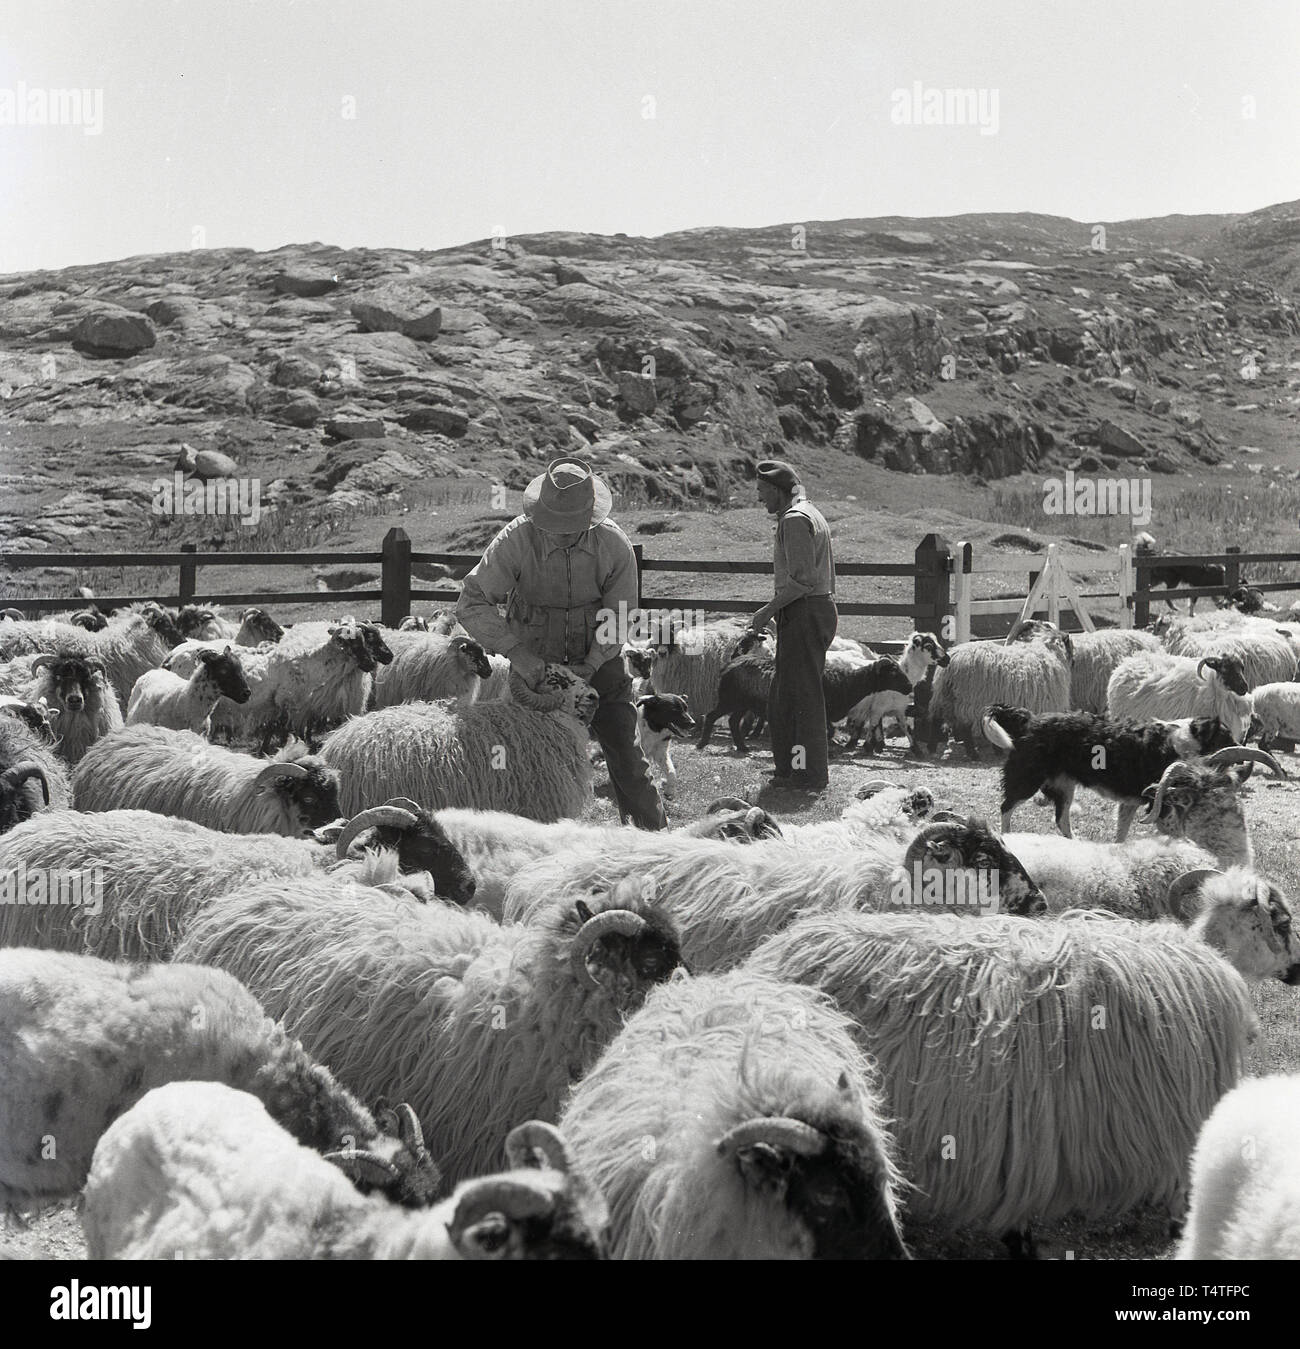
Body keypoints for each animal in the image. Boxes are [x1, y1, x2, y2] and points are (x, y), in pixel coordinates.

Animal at [930, 621, 1073, 758]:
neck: (1046, 649)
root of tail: (951, 663)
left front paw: (998, 749)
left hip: (948, 699)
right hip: (969, 701)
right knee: (965, 729)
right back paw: (973, 754)